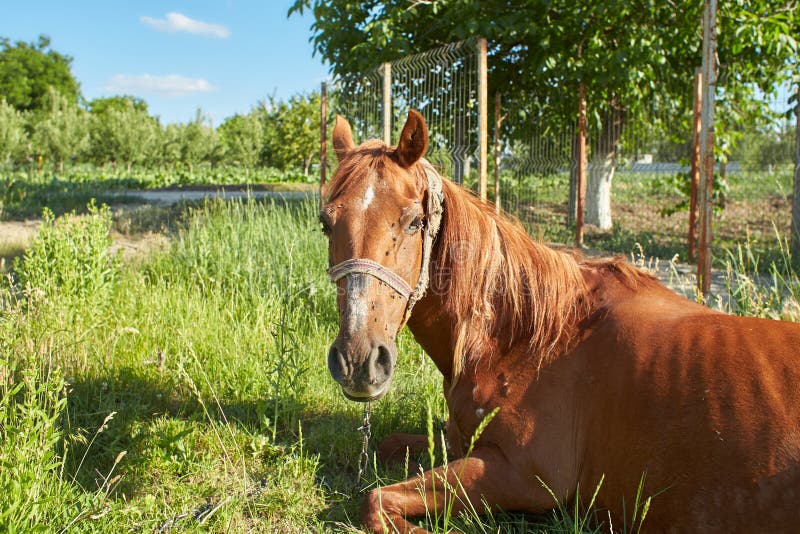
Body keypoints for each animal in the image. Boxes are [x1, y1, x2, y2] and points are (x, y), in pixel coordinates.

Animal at [320, 109, 800, 533]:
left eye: (415, 221)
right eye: (326, 223)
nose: (360, 360)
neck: (531, 337)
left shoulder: (523, 478)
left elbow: (374, 500)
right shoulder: (460, 442)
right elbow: (387, 450)